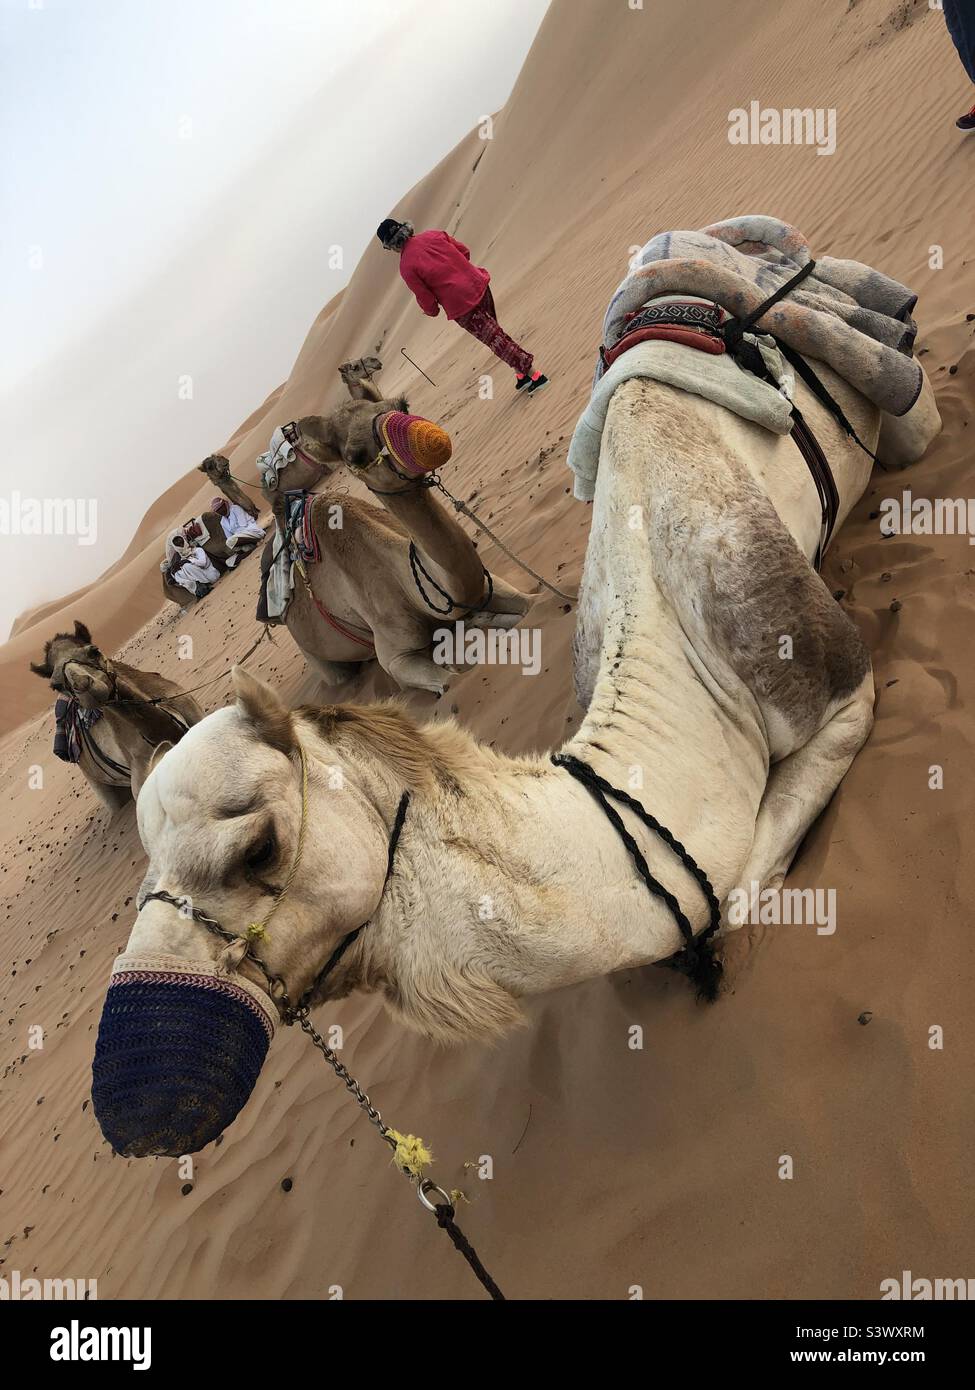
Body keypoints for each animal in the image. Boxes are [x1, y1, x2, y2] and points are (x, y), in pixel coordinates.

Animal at [260, 390, 532, 694]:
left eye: (402, 406)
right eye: (355, 456)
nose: (428, 436)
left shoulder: (486, 588)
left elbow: (530, 603)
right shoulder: (395, 656)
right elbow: (449, 681)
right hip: (316, 656)